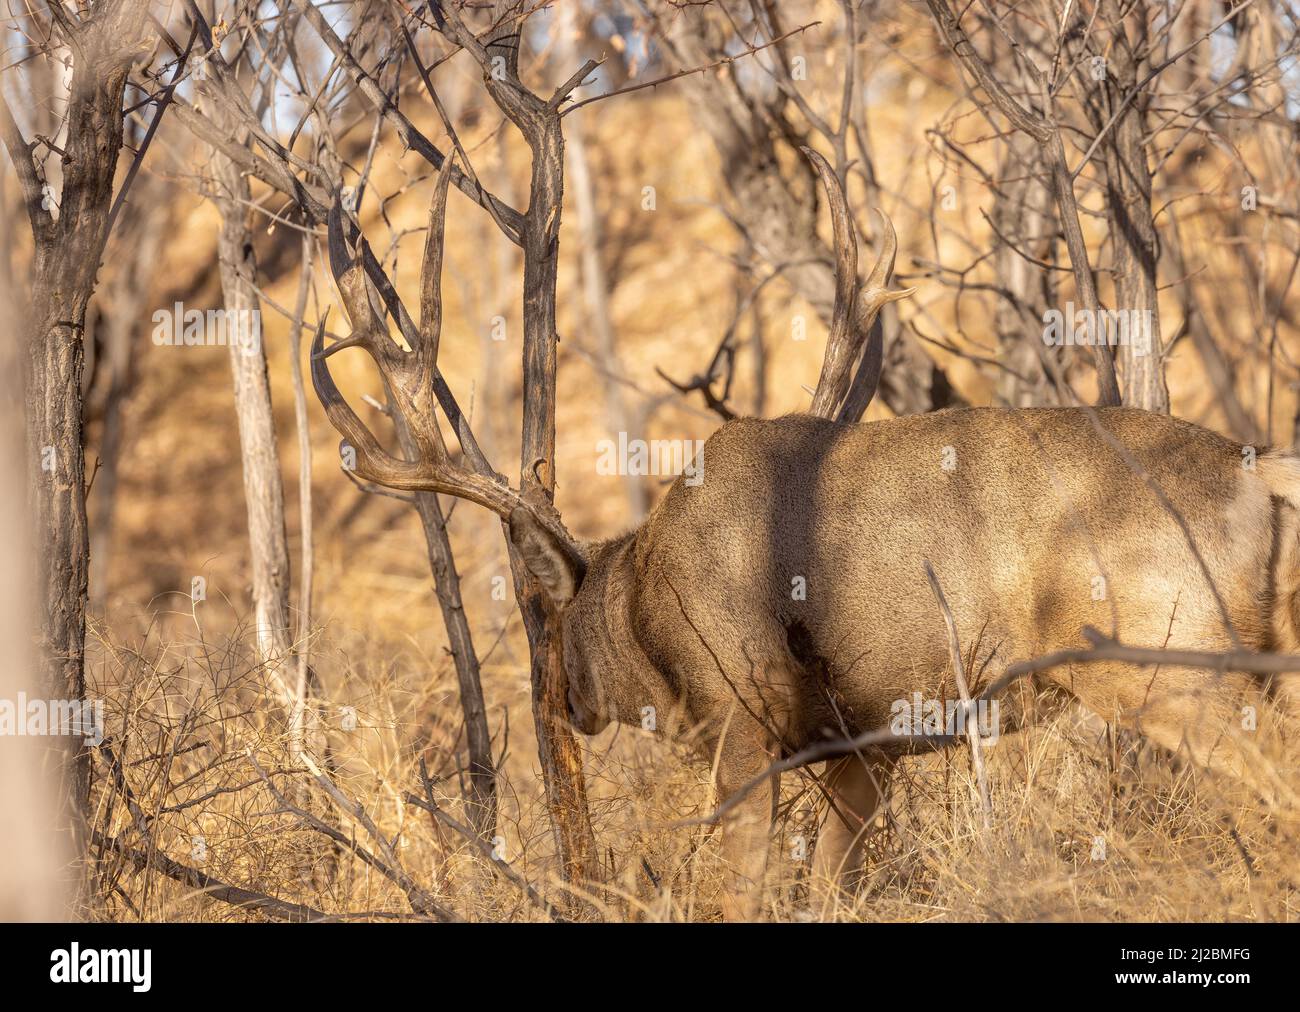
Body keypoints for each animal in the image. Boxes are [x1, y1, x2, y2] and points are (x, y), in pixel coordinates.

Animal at [312, 147, 1300, 921]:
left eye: (549, 620)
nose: (568, 706)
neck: (643, 598)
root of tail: (1258, 472)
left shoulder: (740, 715)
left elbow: (741, 889)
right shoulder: (866, 739)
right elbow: (828, 886)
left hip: (1169, 663)